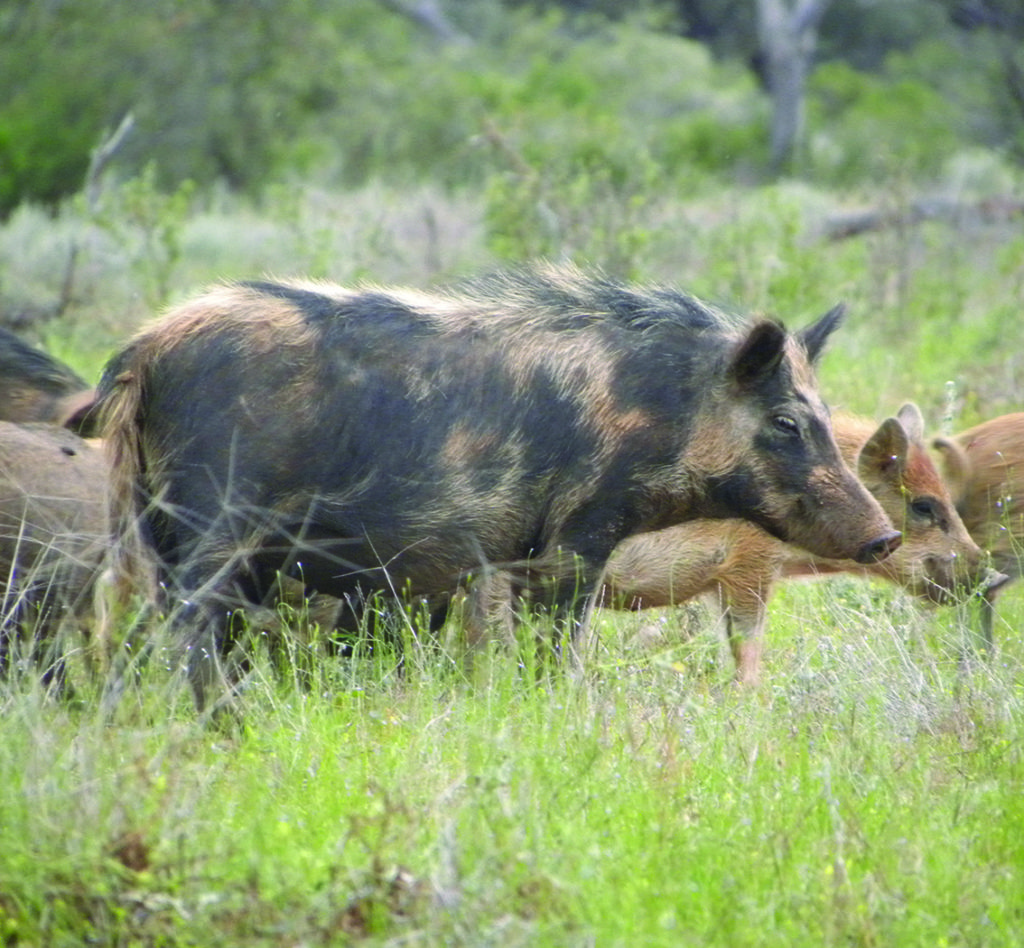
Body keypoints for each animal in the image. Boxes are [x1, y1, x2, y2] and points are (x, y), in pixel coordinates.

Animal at [95, 264, 900, 711]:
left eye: (825, 411)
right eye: (788, 421)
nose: (885, 535)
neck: (658, 408)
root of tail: (147, 348)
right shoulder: (576, 532)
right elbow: (555, 640)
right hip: (212, 523)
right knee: (192, 630)